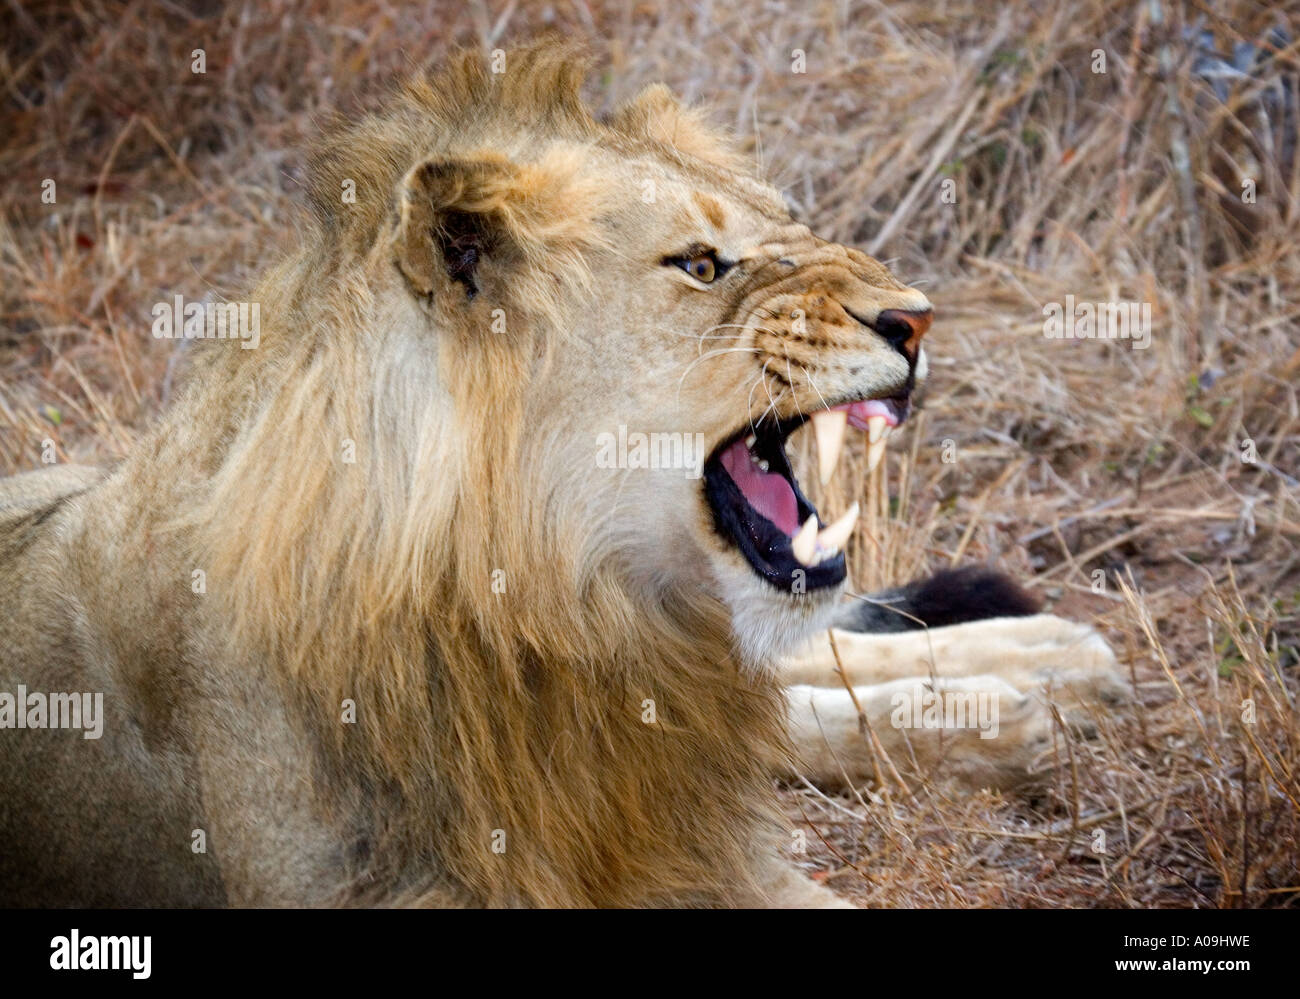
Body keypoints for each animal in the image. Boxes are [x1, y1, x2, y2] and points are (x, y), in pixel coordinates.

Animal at [0, 44, 1124, 907]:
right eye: (700, 267)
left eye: (794, 228)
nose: (917, 318)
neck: (548, 626)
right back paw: (1032, 702)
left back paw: (1051, 669)